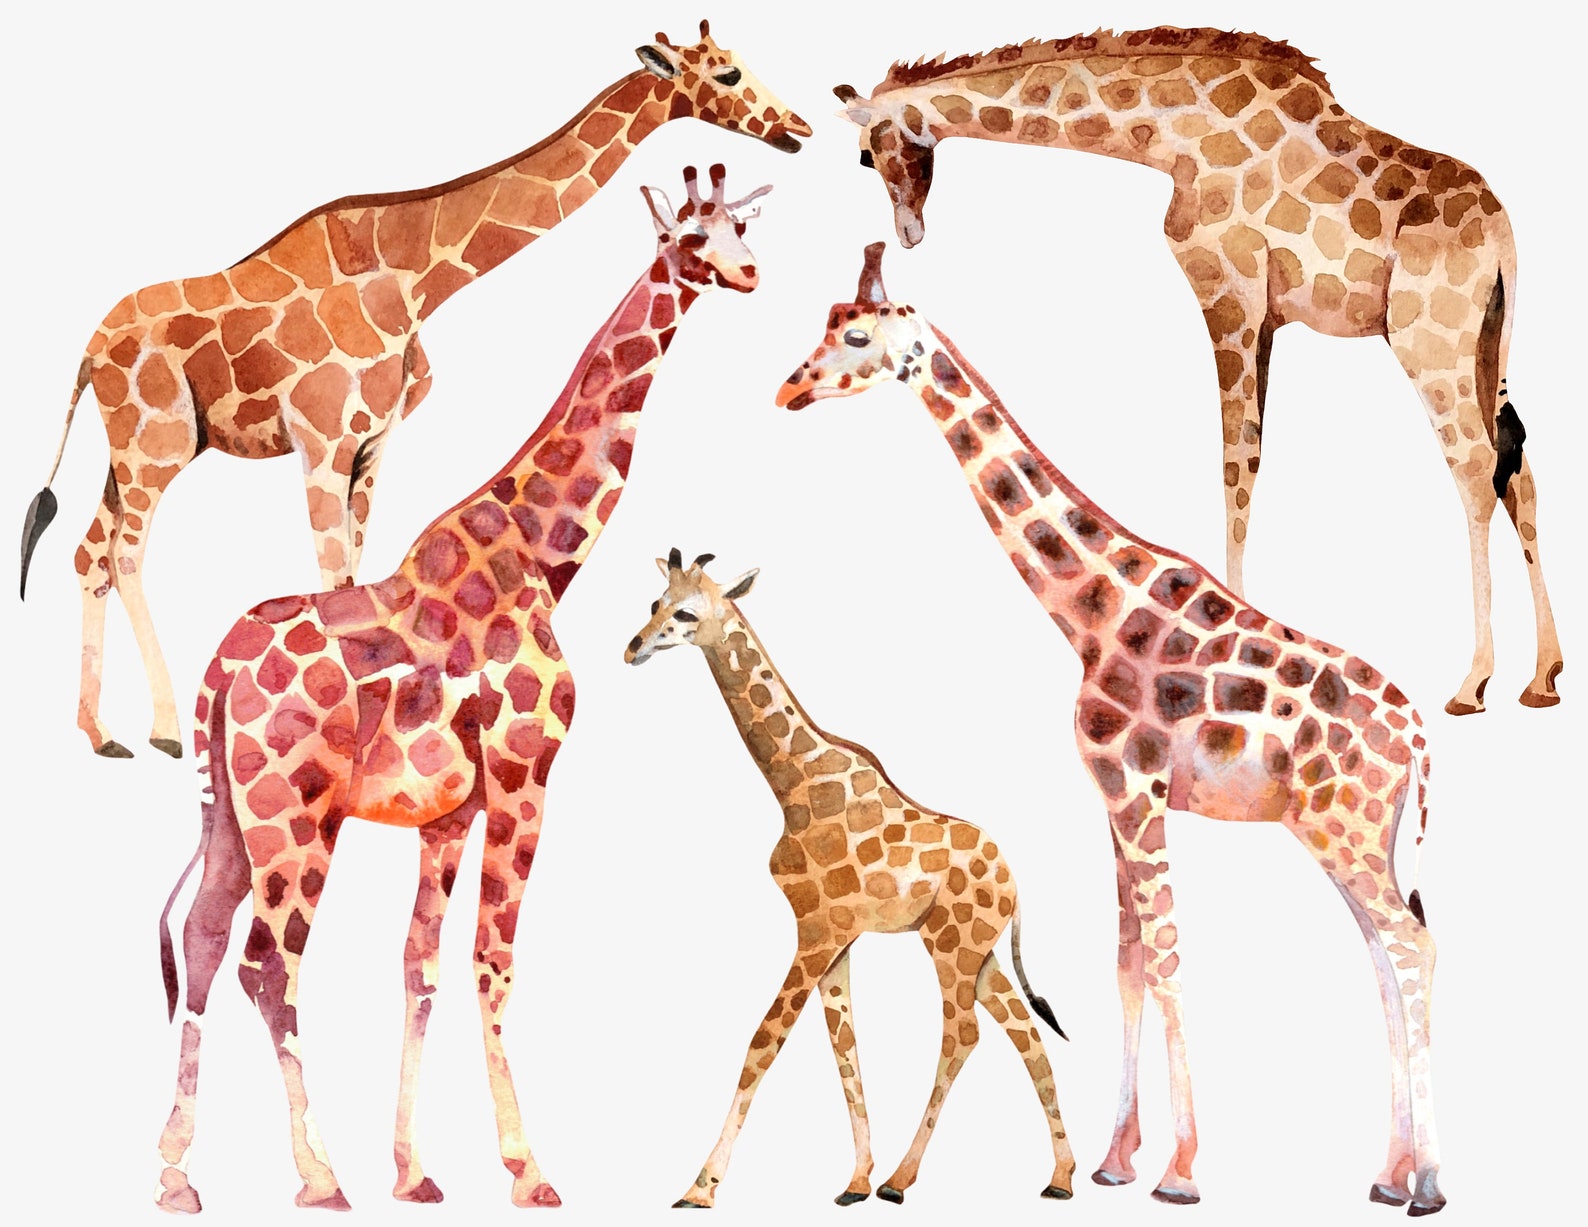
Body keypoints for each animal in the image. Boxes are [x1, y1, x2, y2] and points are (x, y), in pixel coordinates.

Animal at [18, 18, 809, 760]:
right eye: (728, 73)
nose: (797, 130)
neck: (414, 273)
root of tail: (87, 352)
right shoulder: (322, 441)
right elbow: (331, 574)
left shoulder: (373, 442)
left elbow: (353, 576)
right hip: (156, 442)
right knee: (126, 554)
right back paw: (163, 728)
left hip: (141, 447)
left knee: (89, 550)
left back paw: (99, 731)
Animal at [150, 165, 769, 1213]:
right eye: (691, 236)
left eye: (738, 227)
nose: (749, 272)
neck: (546, 553)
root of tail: (219, 671)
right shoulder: (526, 775)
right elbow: (494, 961)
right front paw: (529, 1170)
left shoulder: (448, 811)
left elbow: (421, 965)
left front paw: (415, 1169)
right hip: (298, 815)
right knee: (268, 965)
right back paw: (317, 1175)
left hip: (230, 812)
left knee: (200, 941)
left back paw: (176, 1173)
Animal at [624, 550, 1075, 1208]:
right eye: (655, 602)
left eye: (686, 612)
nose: (633, 647)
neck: (795, 787)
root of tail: (1017, 883)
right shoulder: (837, 936)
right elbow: (844, 1048)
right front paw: (855, 1179)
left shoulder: (817, 929)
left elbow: (763, 1042)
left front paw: (700, 1187)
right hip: (980, 953)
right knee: (1026, 1034)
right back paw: (1061, 1177)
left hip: (950, 945)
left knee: (963, 1034)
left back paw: (902, 1181)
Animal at [774, 243, 1445, 1214]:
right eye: (825, 323)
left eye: (856, 337)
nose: (789, 388)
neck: (1093, 614)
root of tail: (1422, 740)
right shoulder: (1112, 796)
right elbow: (1125, 957)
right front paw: (1114, 1159)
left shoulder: (1138, 787)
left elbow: (1166, 952)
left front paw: (1181, 1169)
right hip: (1354, 832)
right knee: (1383, 954)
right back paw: (1389, 1174)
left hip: (1345, 828)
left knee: (1412, 944)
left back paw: (1428, 1179)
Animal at [834, 25, 1561, 716]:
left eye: (866, 154)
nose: (908, 233)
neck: (1174, 136)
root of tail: (1503, 234)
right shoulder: (1264, 319)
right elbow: (1253, 456)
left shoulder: (1228, 293)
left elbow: (1235, 462)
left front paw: (1235, 635)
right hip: (1487, 340)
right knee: (1517, 468)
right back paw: (1543, 677)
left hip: (1428, 338)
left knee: (1475, 467)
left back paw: (1473, 683)